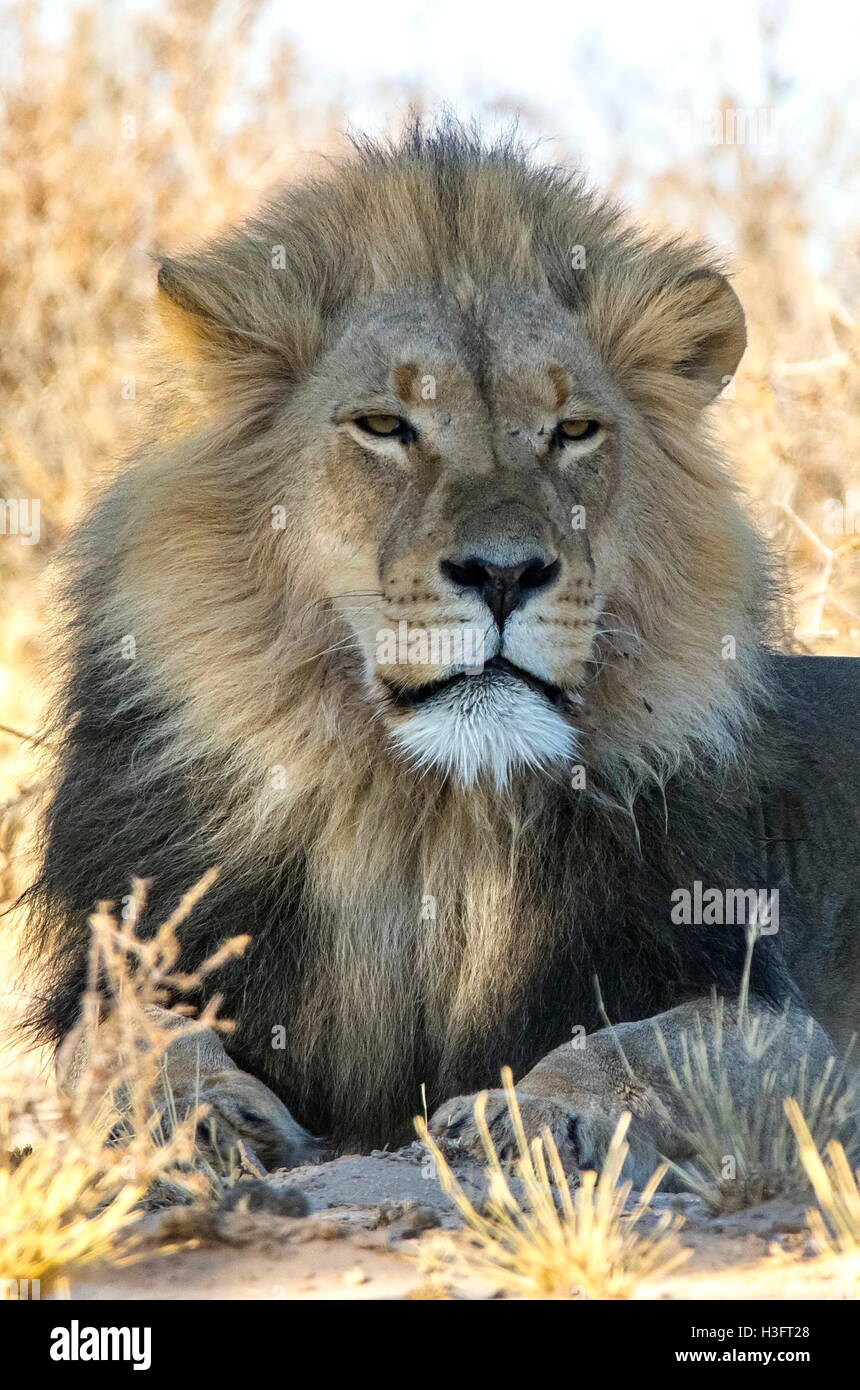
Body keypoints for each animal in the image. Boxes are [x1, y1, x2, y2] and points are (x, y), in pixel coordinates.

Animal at [25, 123, 860, 1183]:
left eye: (573, 431)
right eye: (386, 426)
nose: (504, 574)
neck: (422, 810)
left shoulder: (765, 1003)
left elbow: (637, 1048)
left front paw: (533, 1114)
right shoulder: (134, 964)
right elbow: (118, 1044)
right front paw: (203, 1118)